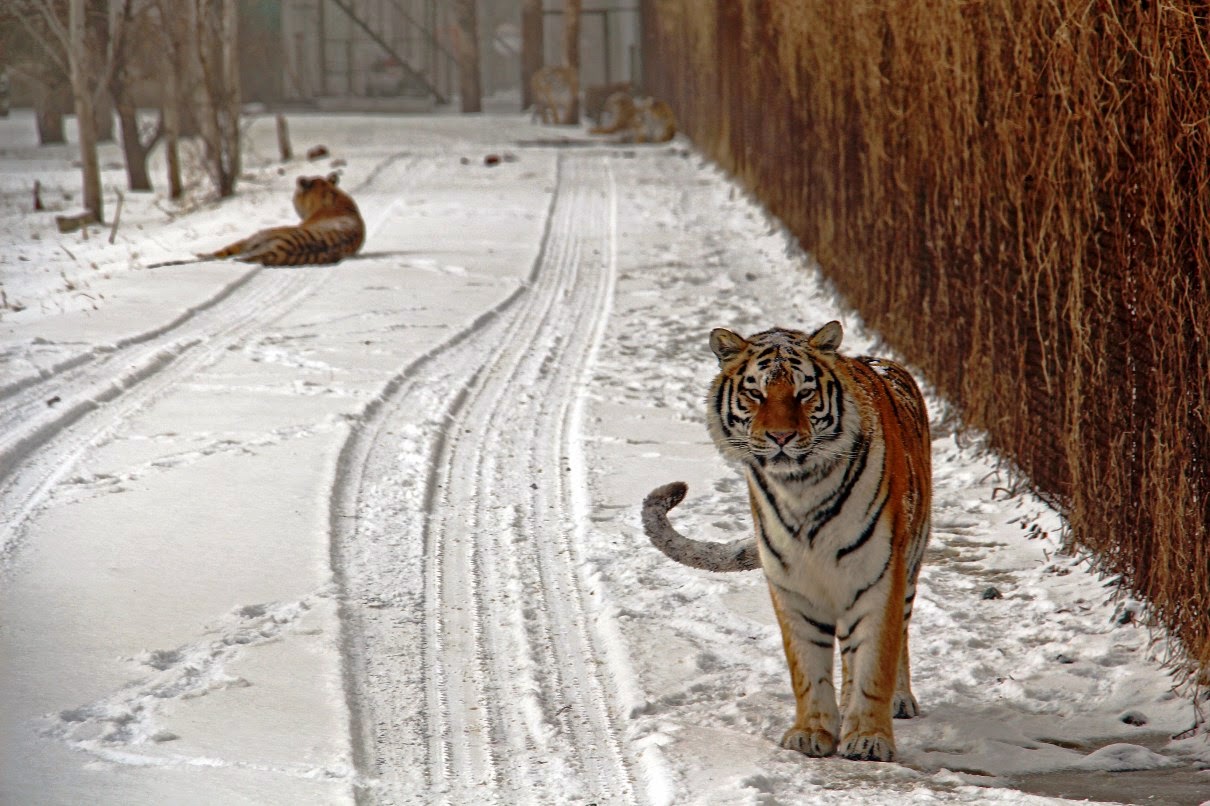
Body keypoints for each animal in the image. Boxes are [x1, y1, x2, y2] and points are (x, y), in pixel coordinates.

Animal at [642, 321, 931, 763]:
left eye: (804, 392)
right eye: (756, 393)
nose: (780, 437)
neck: (802, 488)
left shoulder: (878, 573)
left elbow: (874, 662)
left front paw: (868, 739)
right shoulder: (792, 581)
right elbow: (807, 666)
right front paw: (812, 733)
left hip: (909, 564)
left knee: (897, 635)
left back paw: (898, 700)